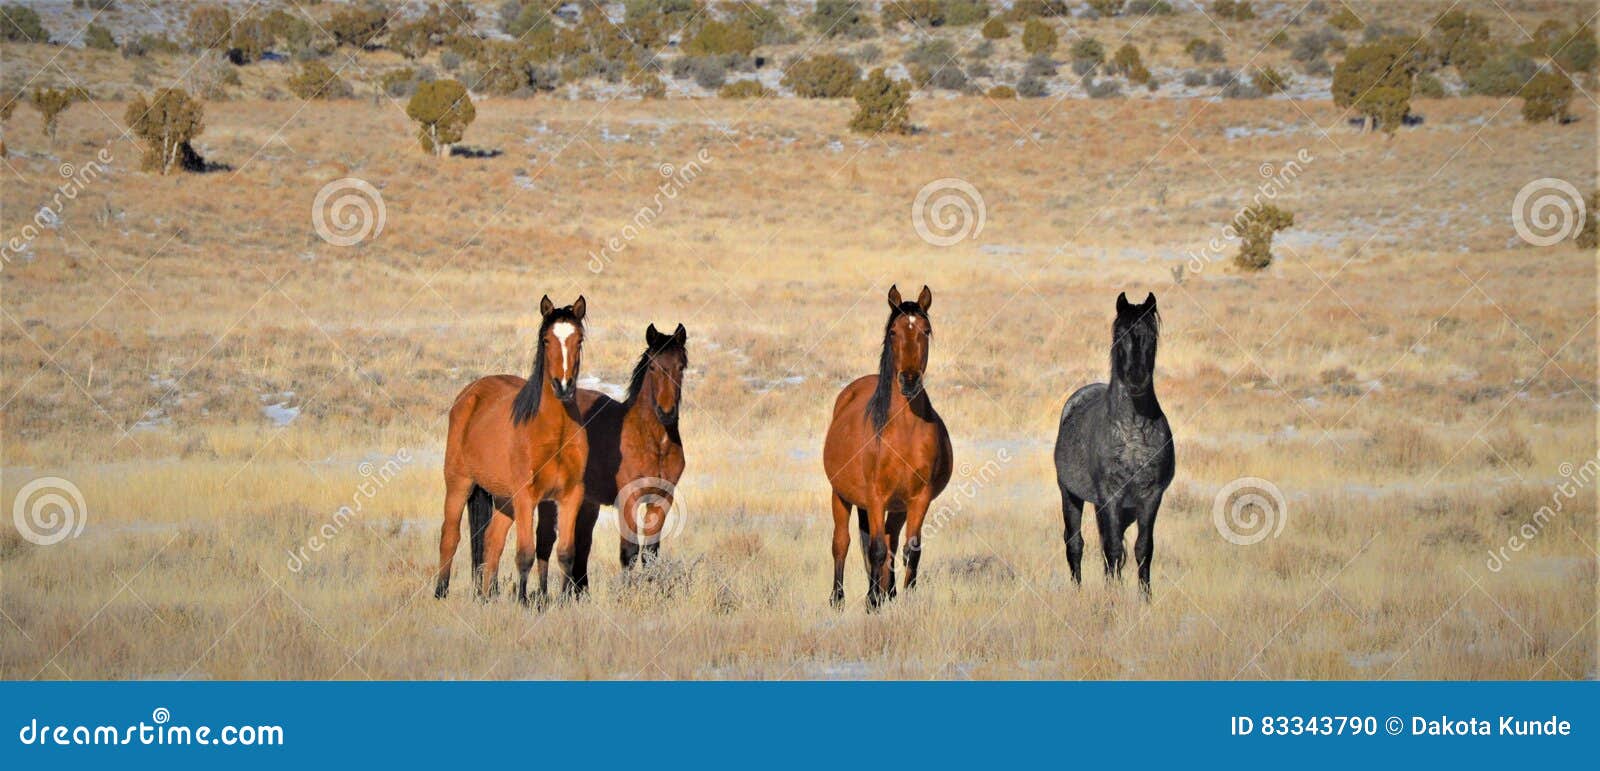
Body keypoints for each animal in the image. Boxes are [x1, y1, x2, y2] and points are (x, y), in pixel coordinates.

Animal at [434, 295, 589, 605]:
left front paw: (563, 601)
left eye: (578, 340)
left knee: (492, 541)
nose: (563, 386)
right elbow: (525, 554)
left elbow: (565, 553)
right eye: (545, 340)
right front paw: (524, 602)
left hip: (504, 500)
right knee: (450, 536)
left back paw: (485, 597)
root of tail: (468, 395)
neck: (554, 431)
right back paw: (440, 592)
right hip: (460, 483)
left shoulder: (569, 495)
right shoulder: (526, 497)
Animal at [513, 323, 687, 597]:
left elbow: (650, 552)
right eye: (653, 367)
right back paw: (544, 595)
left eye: (681, 366)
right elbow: (629, 551)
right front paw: (627, 595)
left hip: (587, 502)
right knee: (546, 541)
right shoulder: (629, 498)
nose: (666, 413)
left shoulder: (662, 499)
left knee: (582, 543)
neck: (652, 441)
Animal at [822, 285, 953, 608]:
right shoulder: (875, 496)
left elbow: (910, 550)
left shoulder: (919, 497)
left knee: (892, 542)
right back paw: (839, 598)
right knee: (842, 543)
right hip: (840, 495)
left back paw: (889, 592)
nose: (909, 380)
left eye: (925, 331)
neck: (903, 432)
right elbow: (876, 549)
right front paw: (871, 601)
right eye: (893, 332)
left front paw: (905, 598)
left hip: (897, 506)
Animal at [1053, 292, 1174, 598]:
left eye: (1151, 336)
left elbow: (1142, 549)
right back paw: (1078, 590)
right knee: (1076, 543)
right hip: (1071, 495)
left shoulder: (1150, 497)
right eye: (1120, 334)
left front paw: (1145, 598)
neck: (1132, 431)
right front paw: (1112, 598)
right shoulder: (1110, 496)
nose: (1136, 377)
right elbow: (1112, 548)